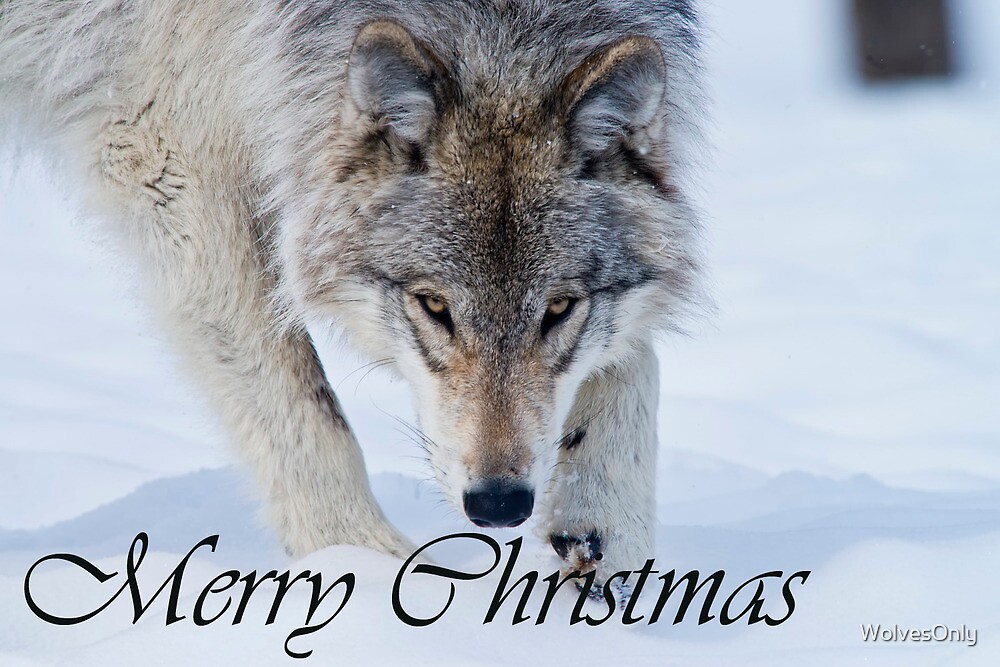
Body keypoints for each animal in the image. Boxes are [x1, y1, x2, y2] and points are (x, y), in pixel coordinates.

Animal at [0, 0, 705, 590]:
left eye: (559, 310)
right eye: (435, 307)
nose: (500, 504)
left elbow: (634, 355)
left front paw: (605, 532)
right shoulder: (166, 156)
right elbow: (305, 406)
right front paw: (371, 580)